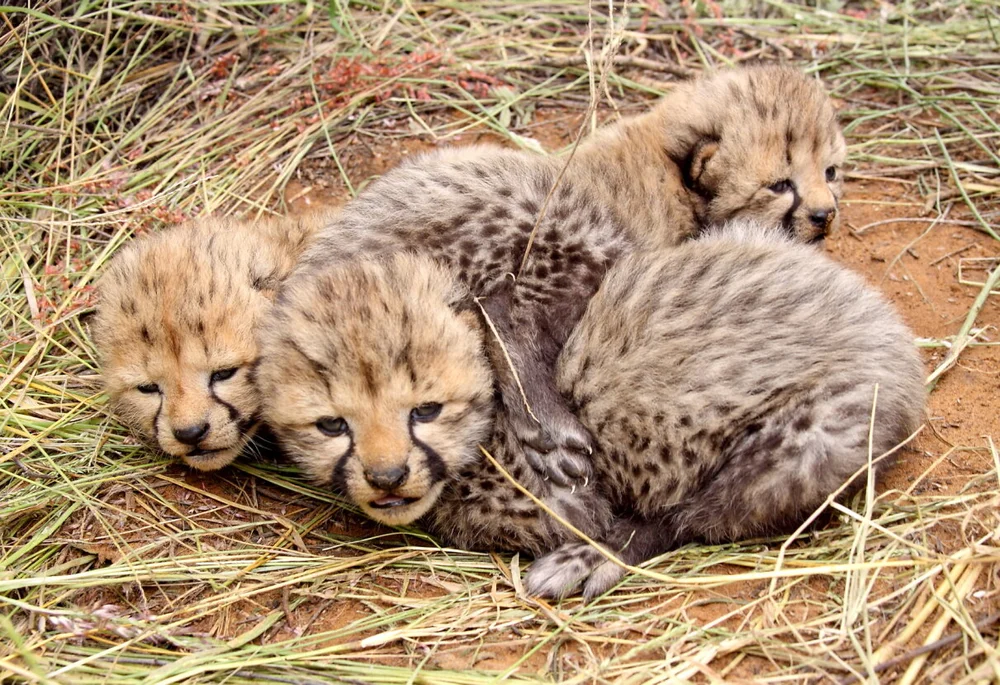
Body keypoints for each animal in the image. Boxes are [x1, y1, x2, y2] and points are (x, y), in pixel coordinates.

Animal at [257, 221, 925, 598]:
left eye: (425, 411)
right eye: (332, 425)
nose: (387, 477)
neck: (486, 446)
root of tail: (886, 327)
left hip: (813, 438)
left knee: (691, 517)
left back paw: (589, 560)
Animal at [292, 65, 846, 490]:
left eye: (832, 172)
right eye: (780, 184)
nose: (825, 215)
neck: (672, 169)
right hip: (562, 226)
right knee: (506, 321)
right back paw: (549, 427)